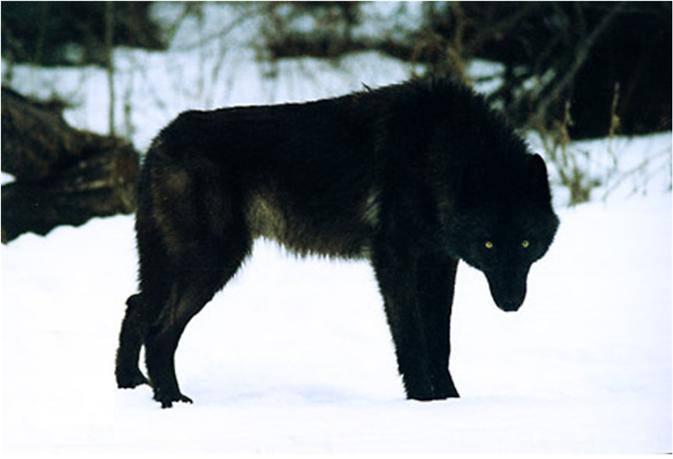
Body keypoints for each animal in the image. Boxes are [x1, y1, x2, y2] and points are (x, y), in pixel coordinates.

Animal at [115, 78, 559, 408]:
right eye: (488, 246)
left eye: (526, 244)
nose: (511, 303)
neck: (435, 150)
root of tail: (159, 140)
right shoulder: (393, 259)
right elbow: (412, 339)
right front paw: (423, 402)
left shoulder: (439, 262)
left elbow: (440, 342)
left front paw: (451, 401)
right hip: (212, 264)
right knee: (158, 329)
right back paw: (171, 400)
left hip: (177, 266)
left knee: (136, 307)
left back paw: (131, 385)